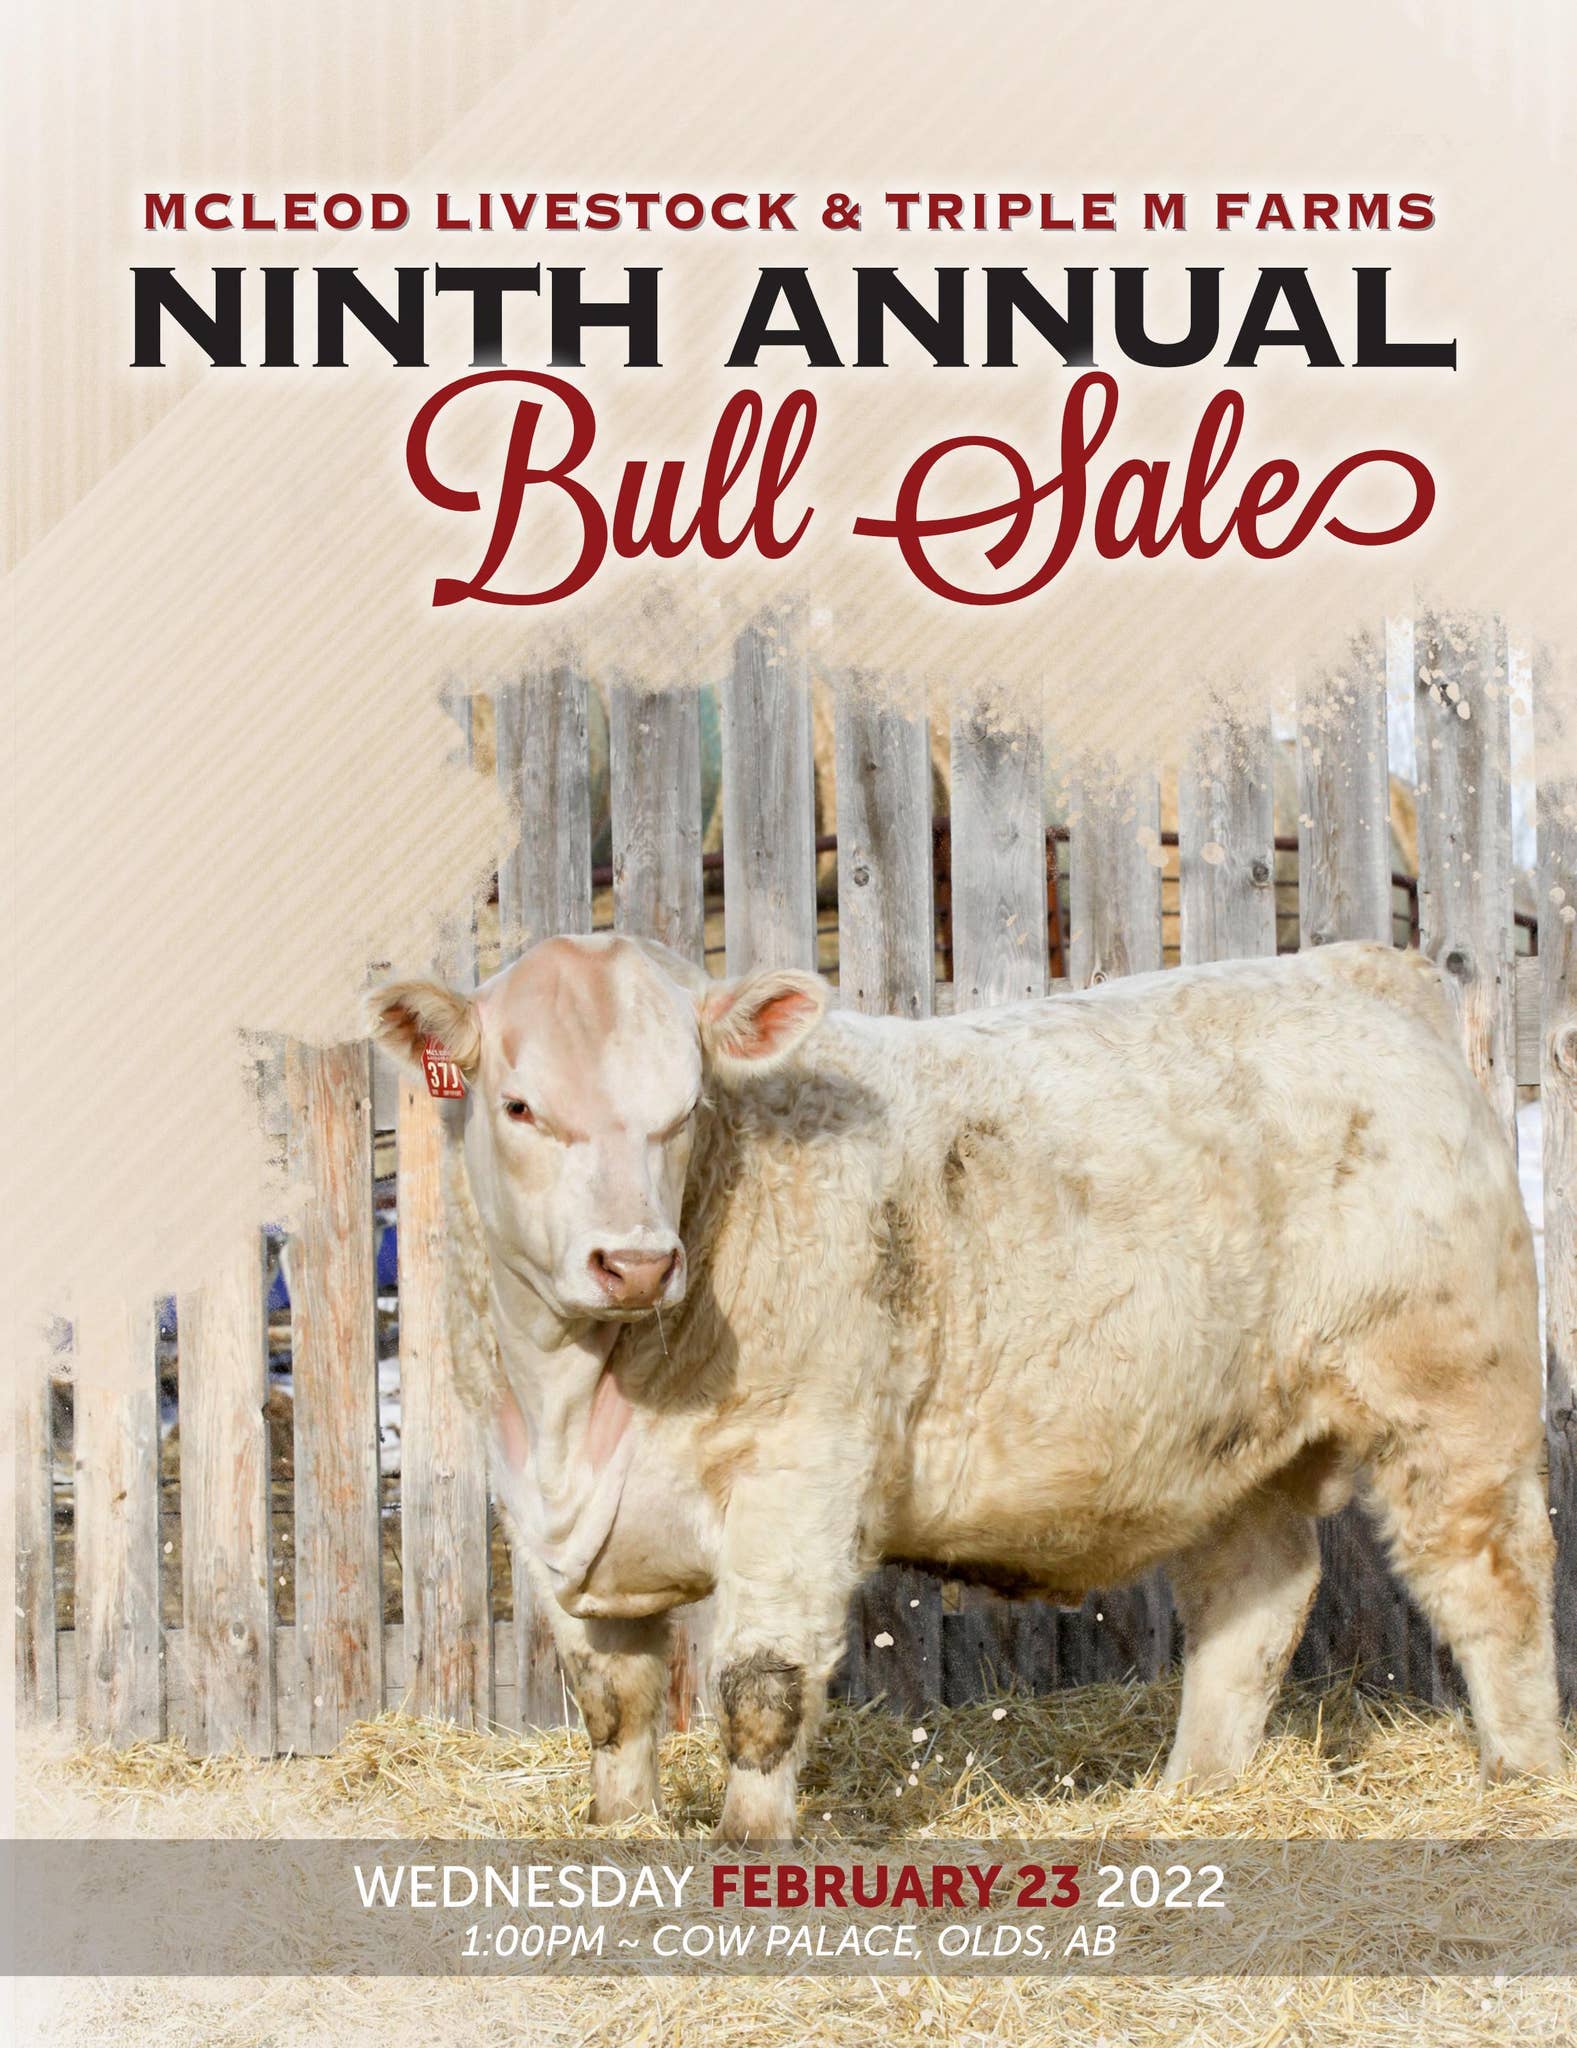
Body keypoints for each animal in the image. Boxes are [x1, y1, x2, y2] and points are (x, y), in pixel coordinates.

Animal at [369, 933, 1561, 1841]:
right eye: (520, 1106)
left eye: (684, 1105)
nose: (633, 1260)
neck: (582, 1406)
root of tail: (1352, 969)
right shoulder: (540, 1523)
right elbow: (611, 1704)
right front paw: (624, 1832)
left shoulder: (798, 1478)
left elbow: (760, 1688)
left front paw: (747, 1848)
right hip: (1229, 1434)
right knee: (1253, 1599)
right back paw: (1191, 1793)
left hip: (1452, 1398)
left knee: (1491, 1578)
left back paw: (1519, 1777)